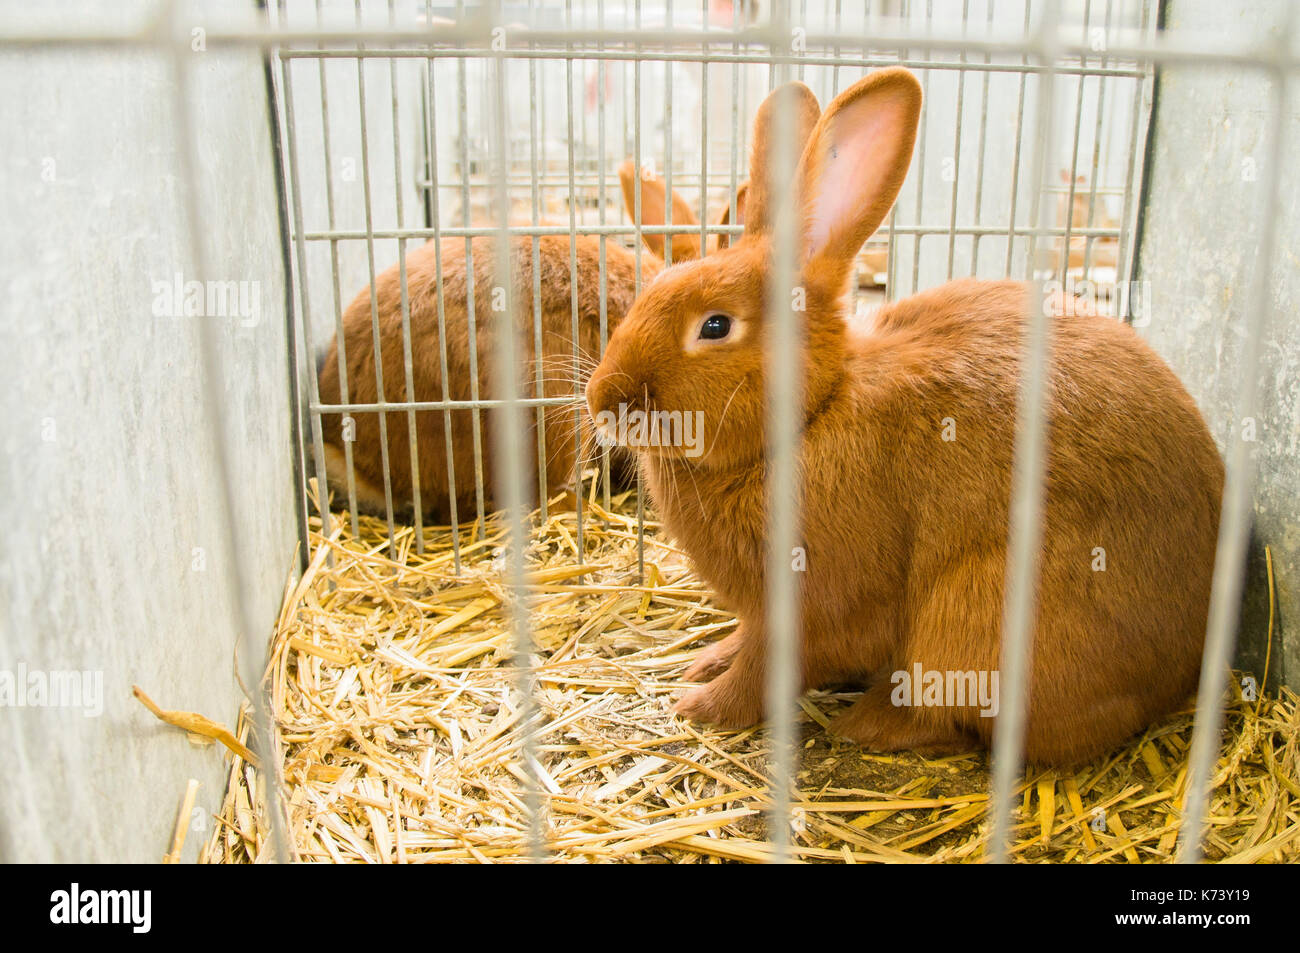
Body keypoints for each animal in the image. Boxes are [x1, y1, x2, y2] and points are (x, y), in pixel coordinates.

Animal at [584, 68, 1224, 767]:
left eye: (716, 326)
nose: (602, 403)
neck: (811, 415)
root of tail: (1185, 665)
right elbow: (747, 641)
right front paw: (706, 662)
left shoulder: (815, 608)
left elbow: (770, 667)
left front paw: (701, 705)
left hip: (973, 616)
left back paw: (872, 725)